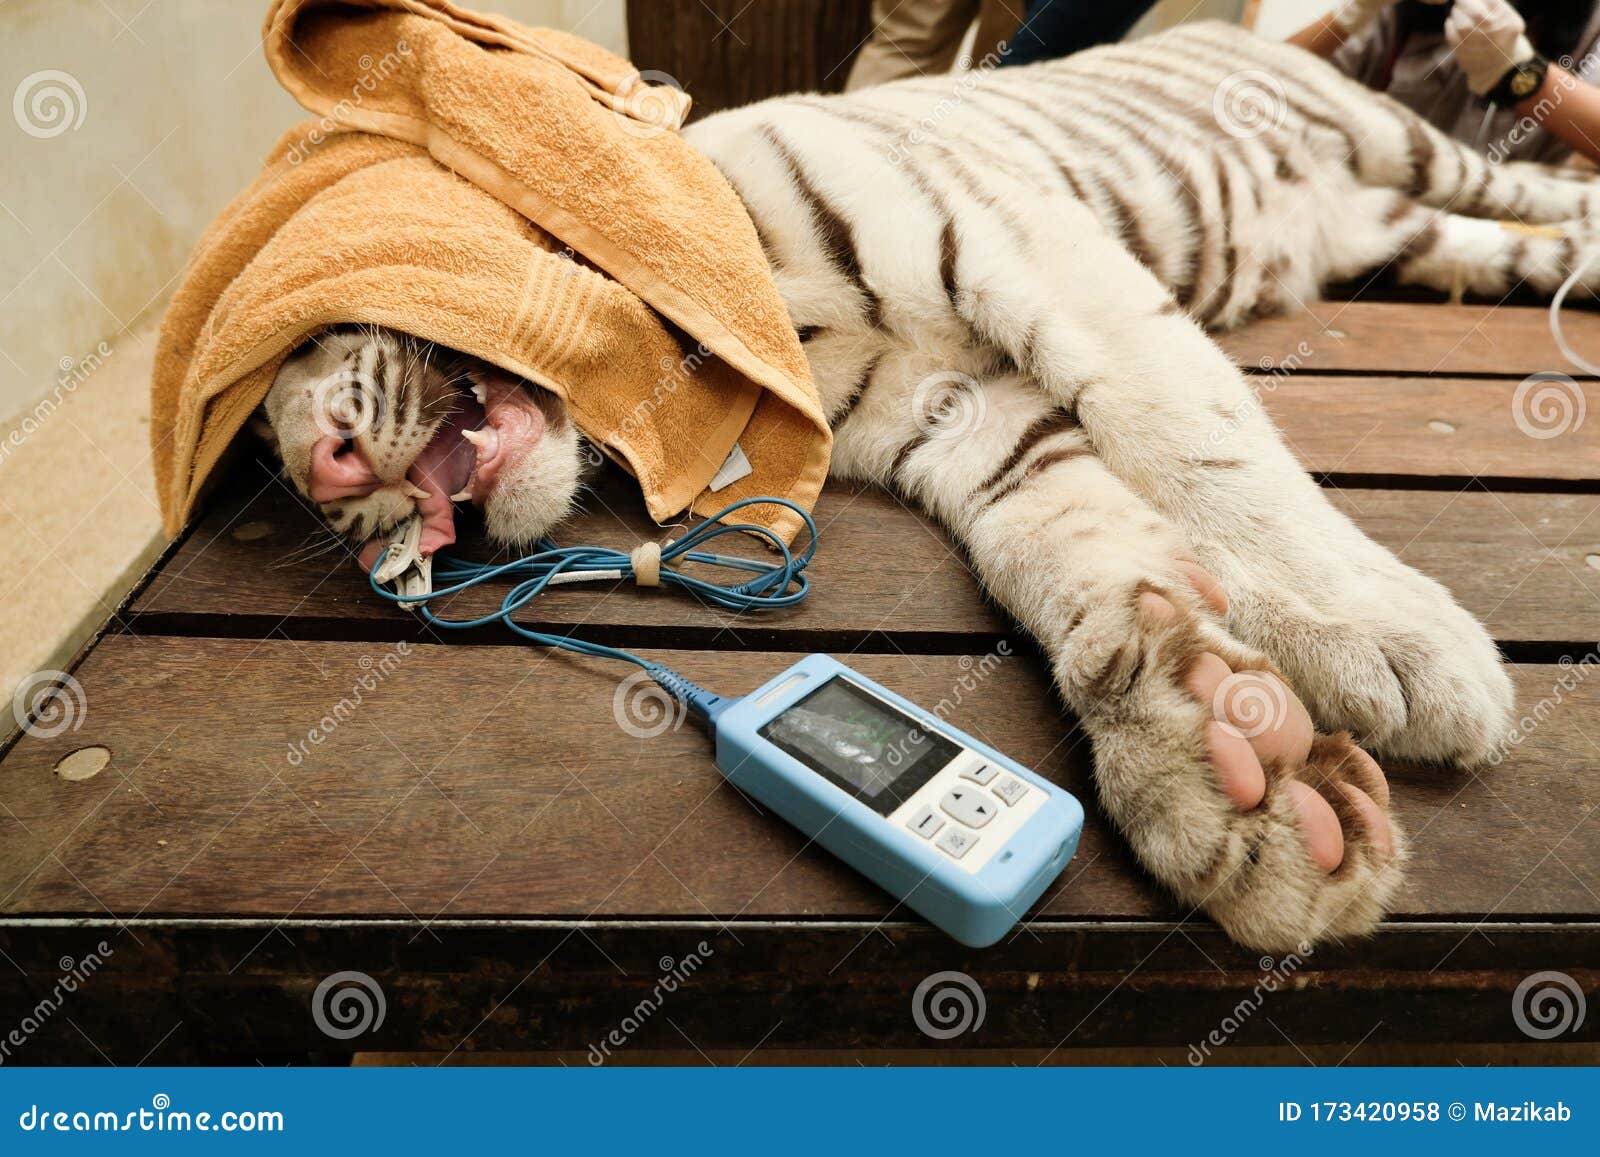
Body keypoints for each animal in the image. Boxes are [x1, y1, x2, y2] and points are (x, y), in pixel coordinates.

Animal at [259, 21, 1597, 950]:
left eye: (315, 327)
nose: (317, 466)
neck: (730, 345)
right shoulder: (956, 408)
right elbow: (1061, 541)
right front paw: (1229, 764)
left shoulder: (1032, 248)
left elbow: (1193, 437)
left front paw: (1380, 640)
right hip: (1404, 227)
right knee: (1504, 244)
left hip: (1396, 141)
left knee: (1530, 184)